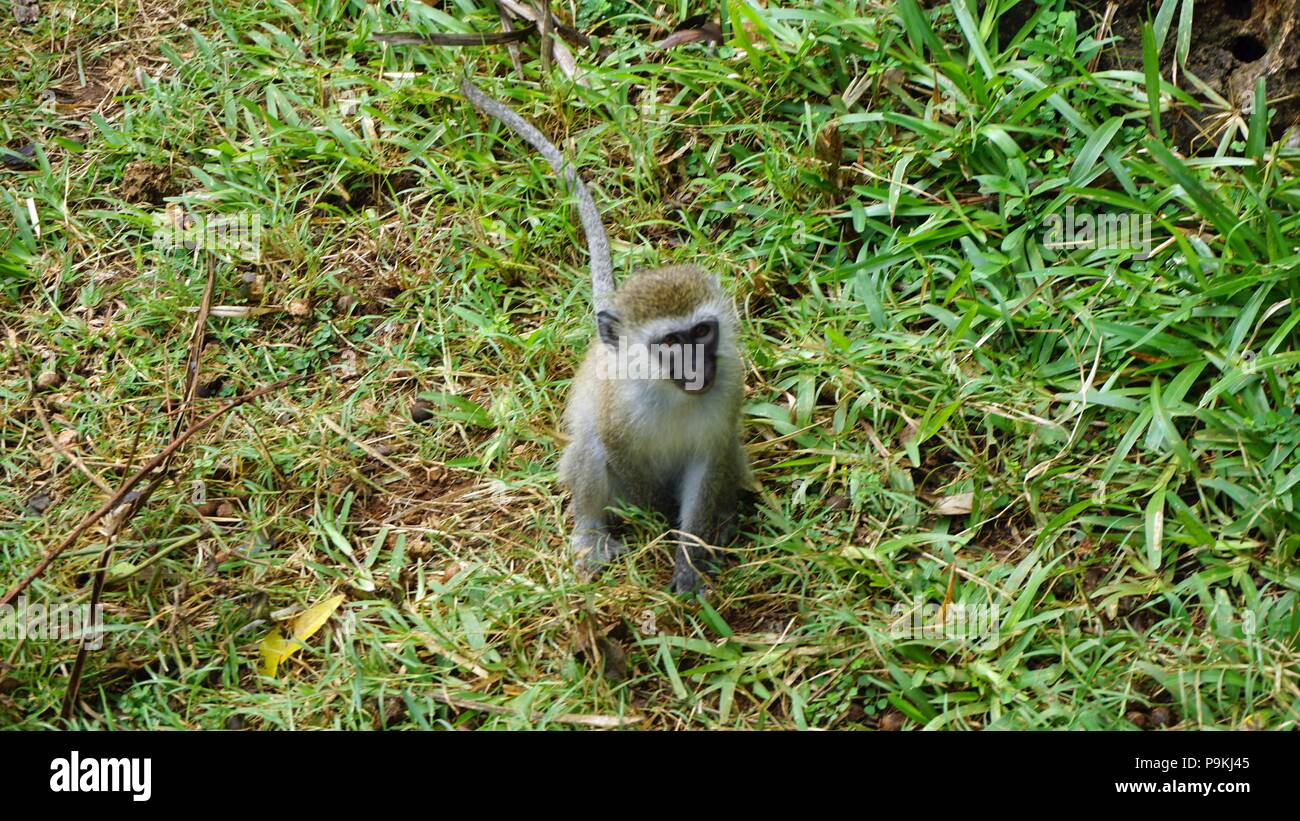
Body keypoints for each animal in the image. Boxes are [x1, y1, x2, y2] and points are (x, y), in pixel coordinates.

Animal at [459, 78, 750, 593]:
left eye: (701, 332)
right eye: (671, 344)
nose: (699, 370)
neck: (667, 391)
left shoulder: (729, 385)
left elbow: (708, 464)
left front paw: (690, 559)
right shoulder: (618, 409)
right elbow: (615, 451)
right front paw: (654, 518)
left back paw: (724, 518)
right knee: (589, 448)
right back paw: (592, 531)